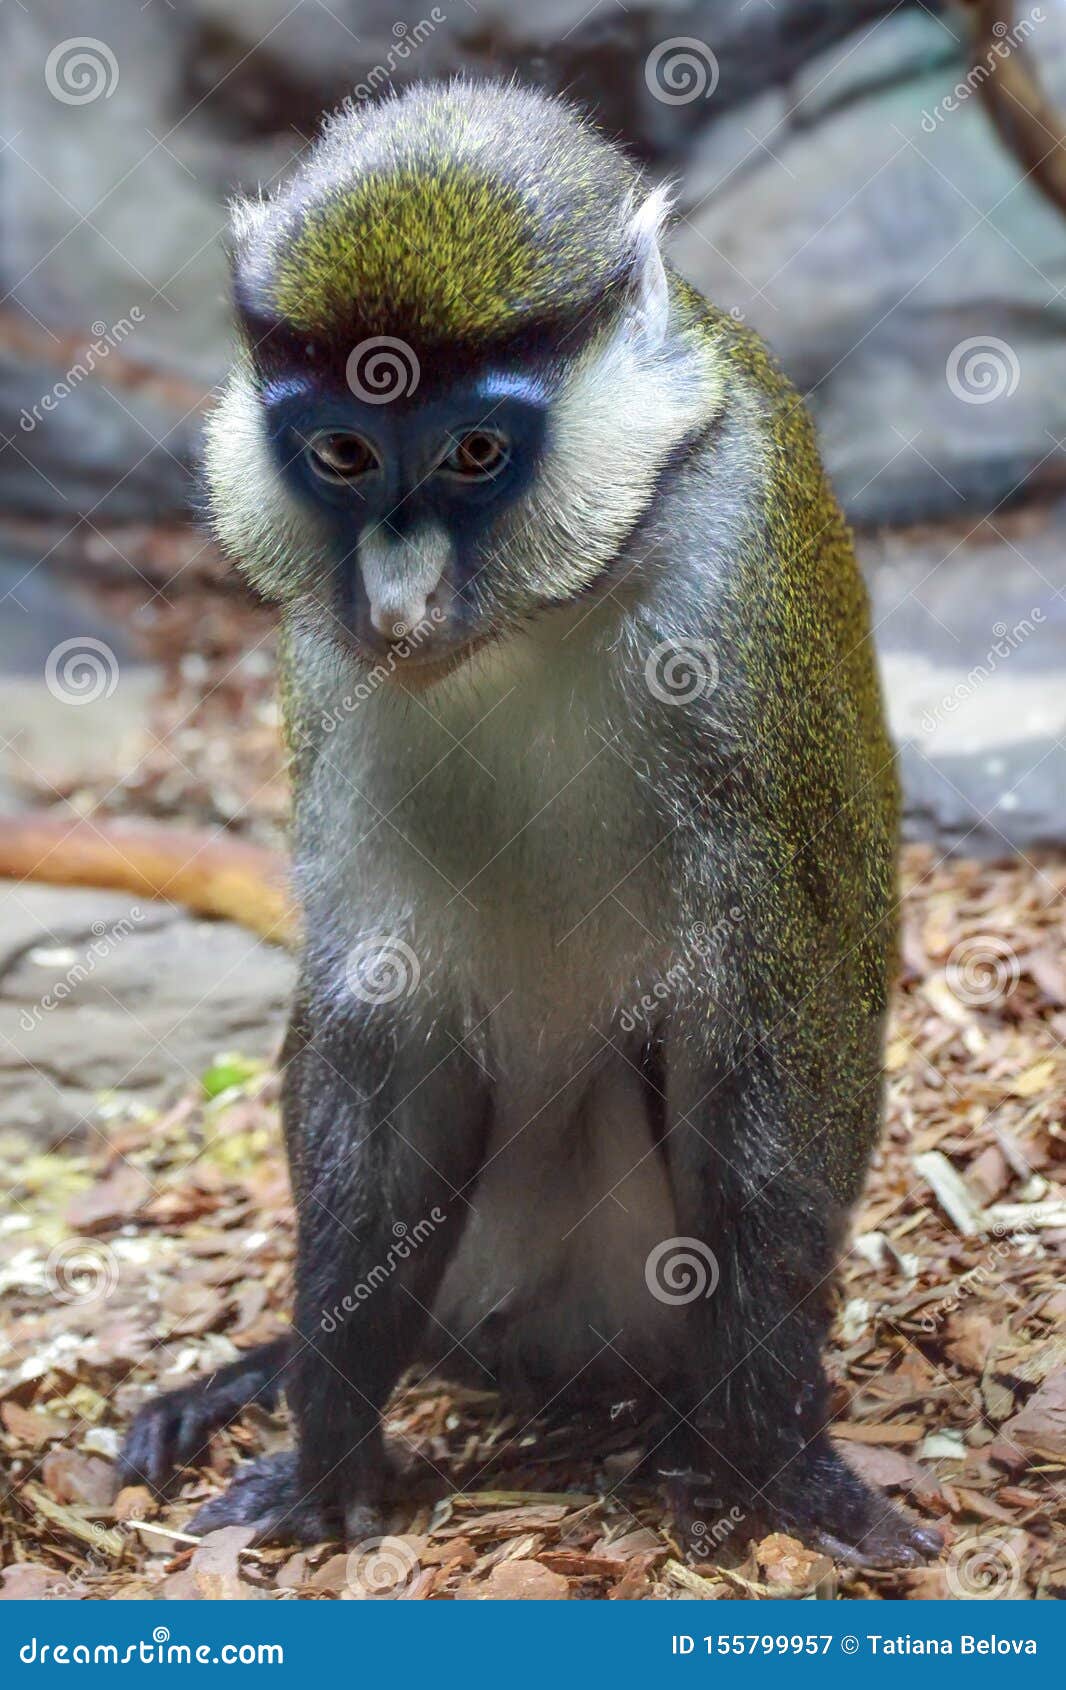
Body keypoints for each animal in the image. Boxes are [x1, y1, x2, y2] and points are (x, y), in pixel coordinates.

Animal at [89, 80, 944, 1564]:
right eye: (344, 451)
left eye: (475, 451)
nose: (397, 599)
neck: (545, 610)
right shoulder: (331, 670)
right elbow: (388, 1017)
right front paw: (326, 1437)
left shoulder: (734, 584)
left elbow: (774, 1004)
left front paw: (783, 1465)